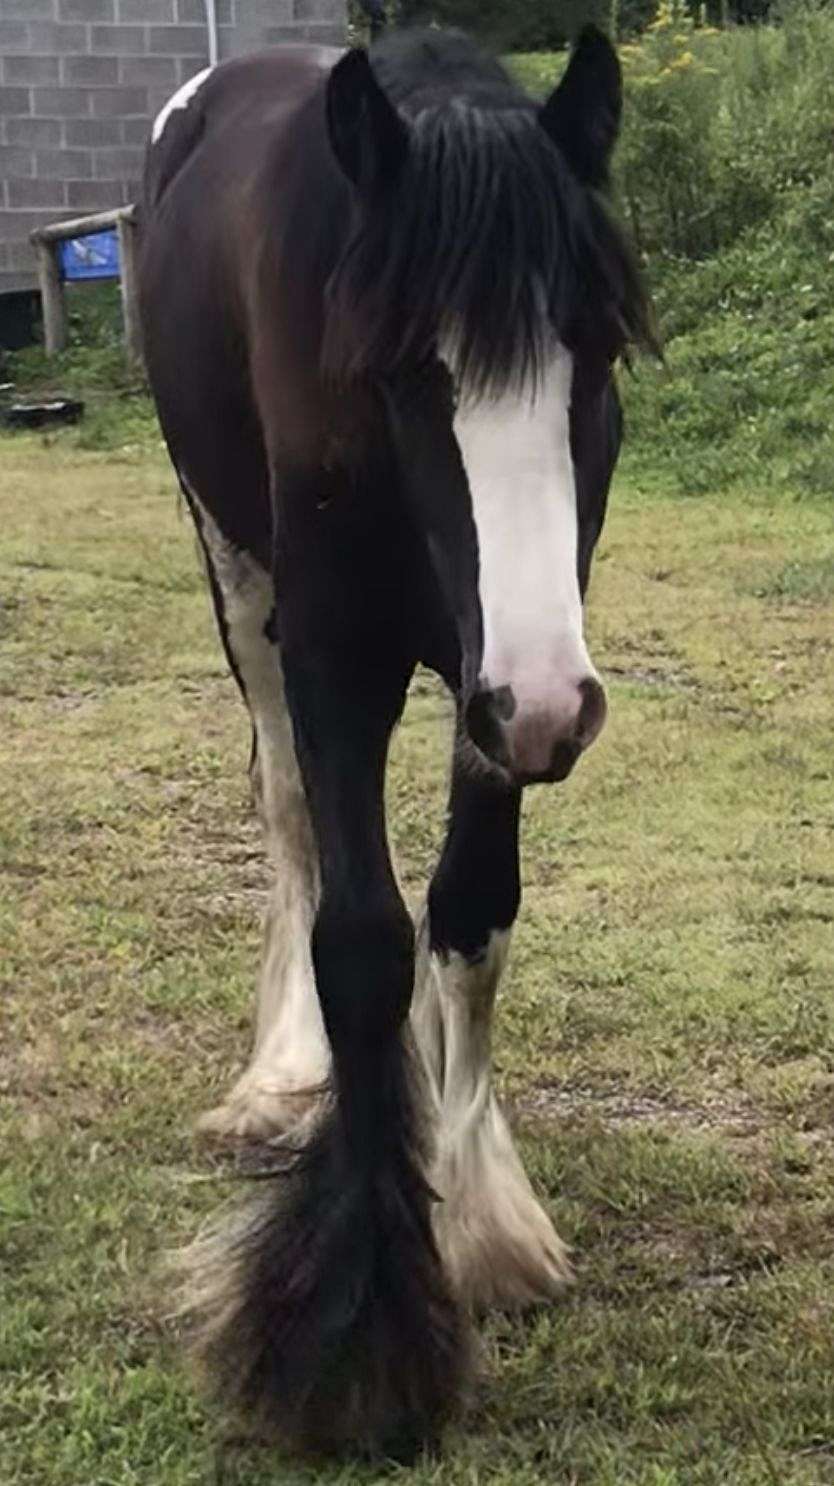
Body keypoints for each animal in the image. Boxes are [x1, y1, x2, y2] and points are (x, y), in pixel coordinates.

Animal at [138, 23, 654, 1459]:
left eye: (592, 353)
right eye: (404, 368)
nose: (555, 704)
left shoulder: (505, 674)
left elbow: (469, 912)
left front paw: (474, 1217)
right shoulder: (341, 661)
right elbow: (362, 936)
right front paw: (355, 1333)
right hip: (232, 571)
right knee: (288, 819)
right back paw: (283, 1074)